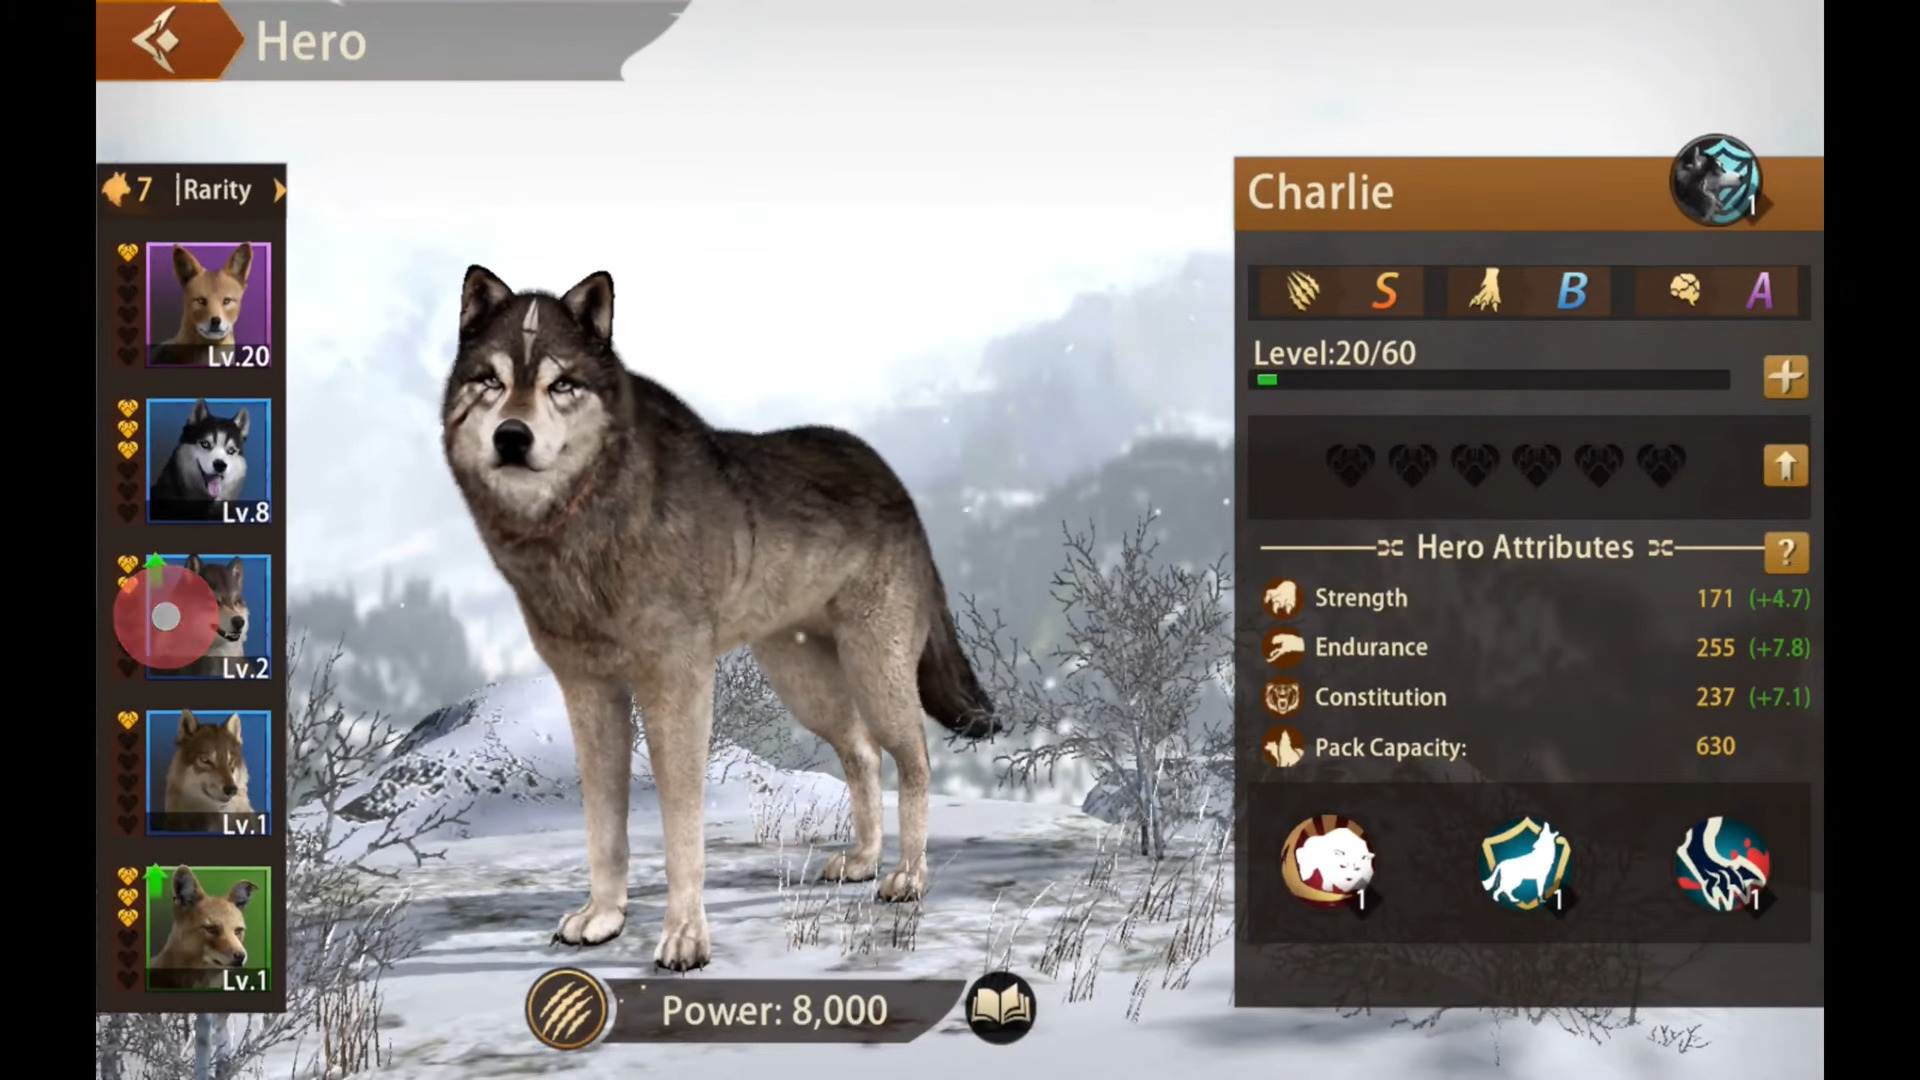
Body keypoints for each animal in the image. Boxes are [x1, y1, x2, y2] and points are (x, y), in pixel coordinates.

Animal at [443, 265, 1001, 971]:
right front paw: (603, 919)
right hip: (805, 685)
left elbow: (683, 828)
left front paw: (685, 939)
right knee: (862, 753)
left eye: (560, 383)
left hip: (875, 672)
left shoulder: (677, 685)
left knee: (916, 759)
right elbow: (603, 824)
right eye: (490, 381)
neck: (583, 526)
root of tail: (891, 476)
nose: (511, 437)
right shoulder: (587, 691)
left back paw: (907, 878)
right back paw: (862, 862)